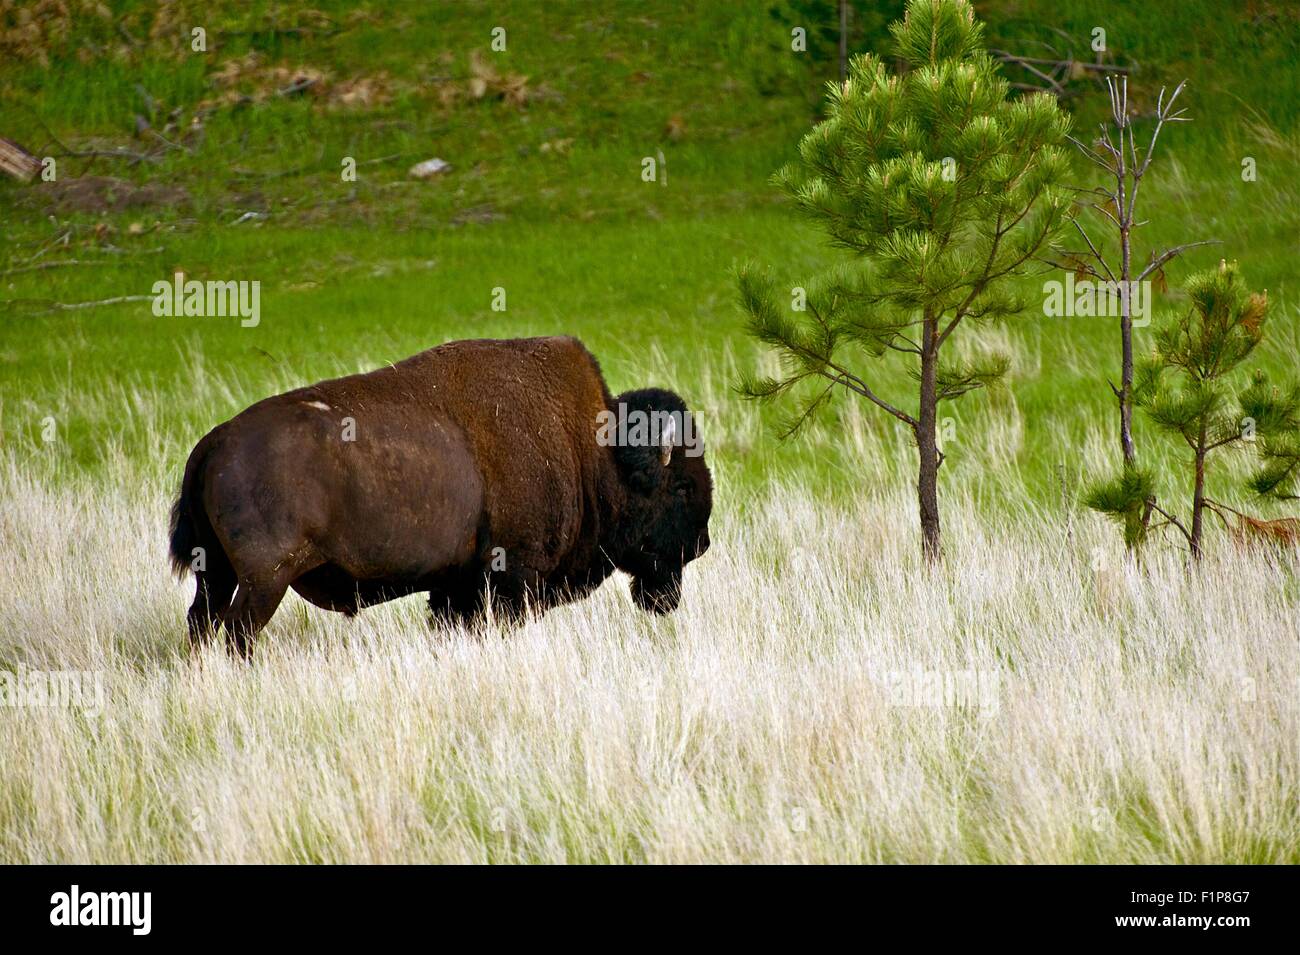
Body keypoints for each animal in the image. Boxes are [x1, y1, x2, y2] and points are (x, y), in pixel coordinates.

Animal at [169, 336, 712, 655]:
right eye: (683, 485)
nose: (702, 543)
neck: (593, 450)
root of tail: (213, 443)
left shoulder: (457, 586)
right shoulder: (513, 576)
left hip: (215, 573)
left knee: (202, 622)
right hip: (265, 580)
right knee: (236, 632)